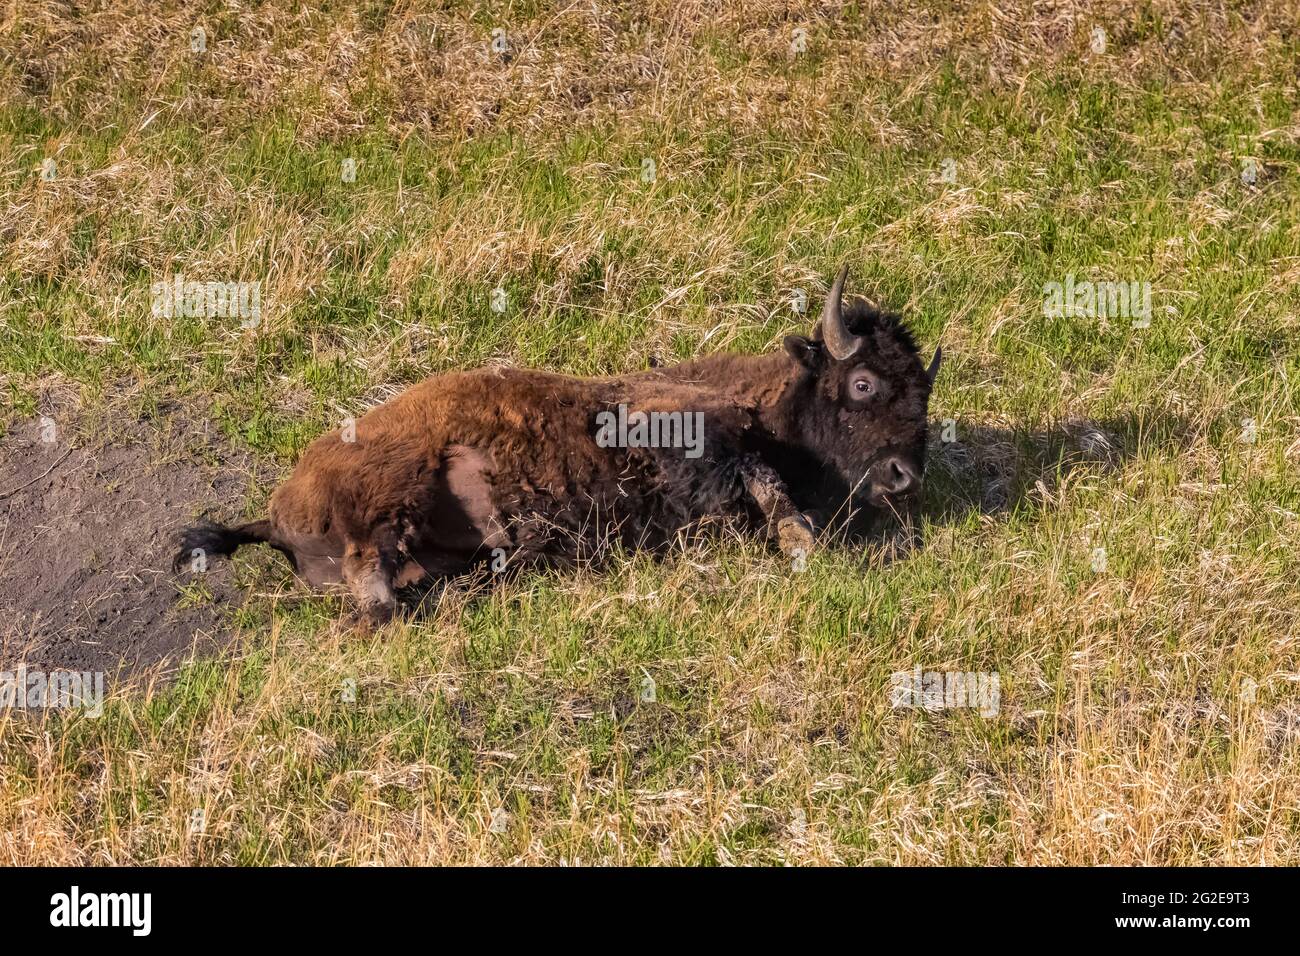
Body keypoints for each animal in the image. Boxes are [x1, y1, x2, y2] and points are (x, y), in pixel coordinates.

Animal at [176, 265, 942, 628]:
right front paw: (801, 541)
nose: (905, 475)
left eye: (924, 391)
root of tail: (274, 511)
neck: (766, 394)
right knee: (375, 579)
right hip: (393, 492)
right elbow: (758, 481)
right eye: (864, 383)